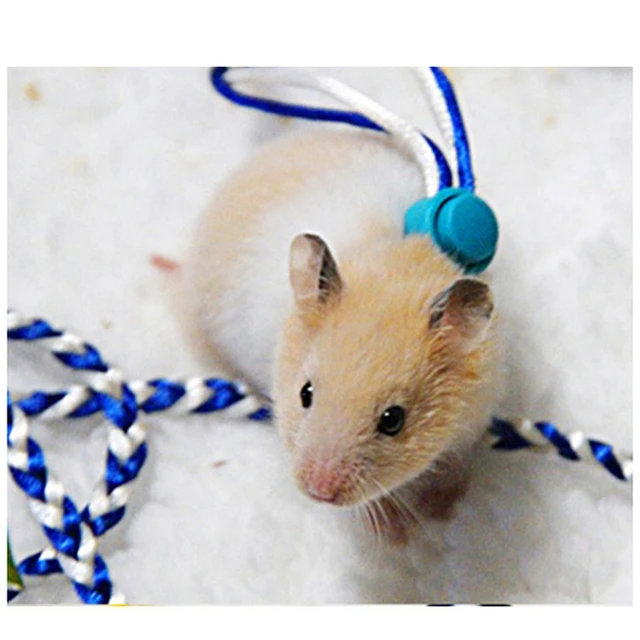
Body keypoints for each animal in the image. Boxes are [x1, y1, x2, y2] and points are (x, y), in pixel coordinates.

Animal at [184, 128, 504, 542]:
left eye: (393, 420)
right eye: (305, 394)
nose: (316, 491)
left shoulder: (475, 417)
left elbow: (457, 464)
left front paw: (441, 511)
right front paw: (398, 536)